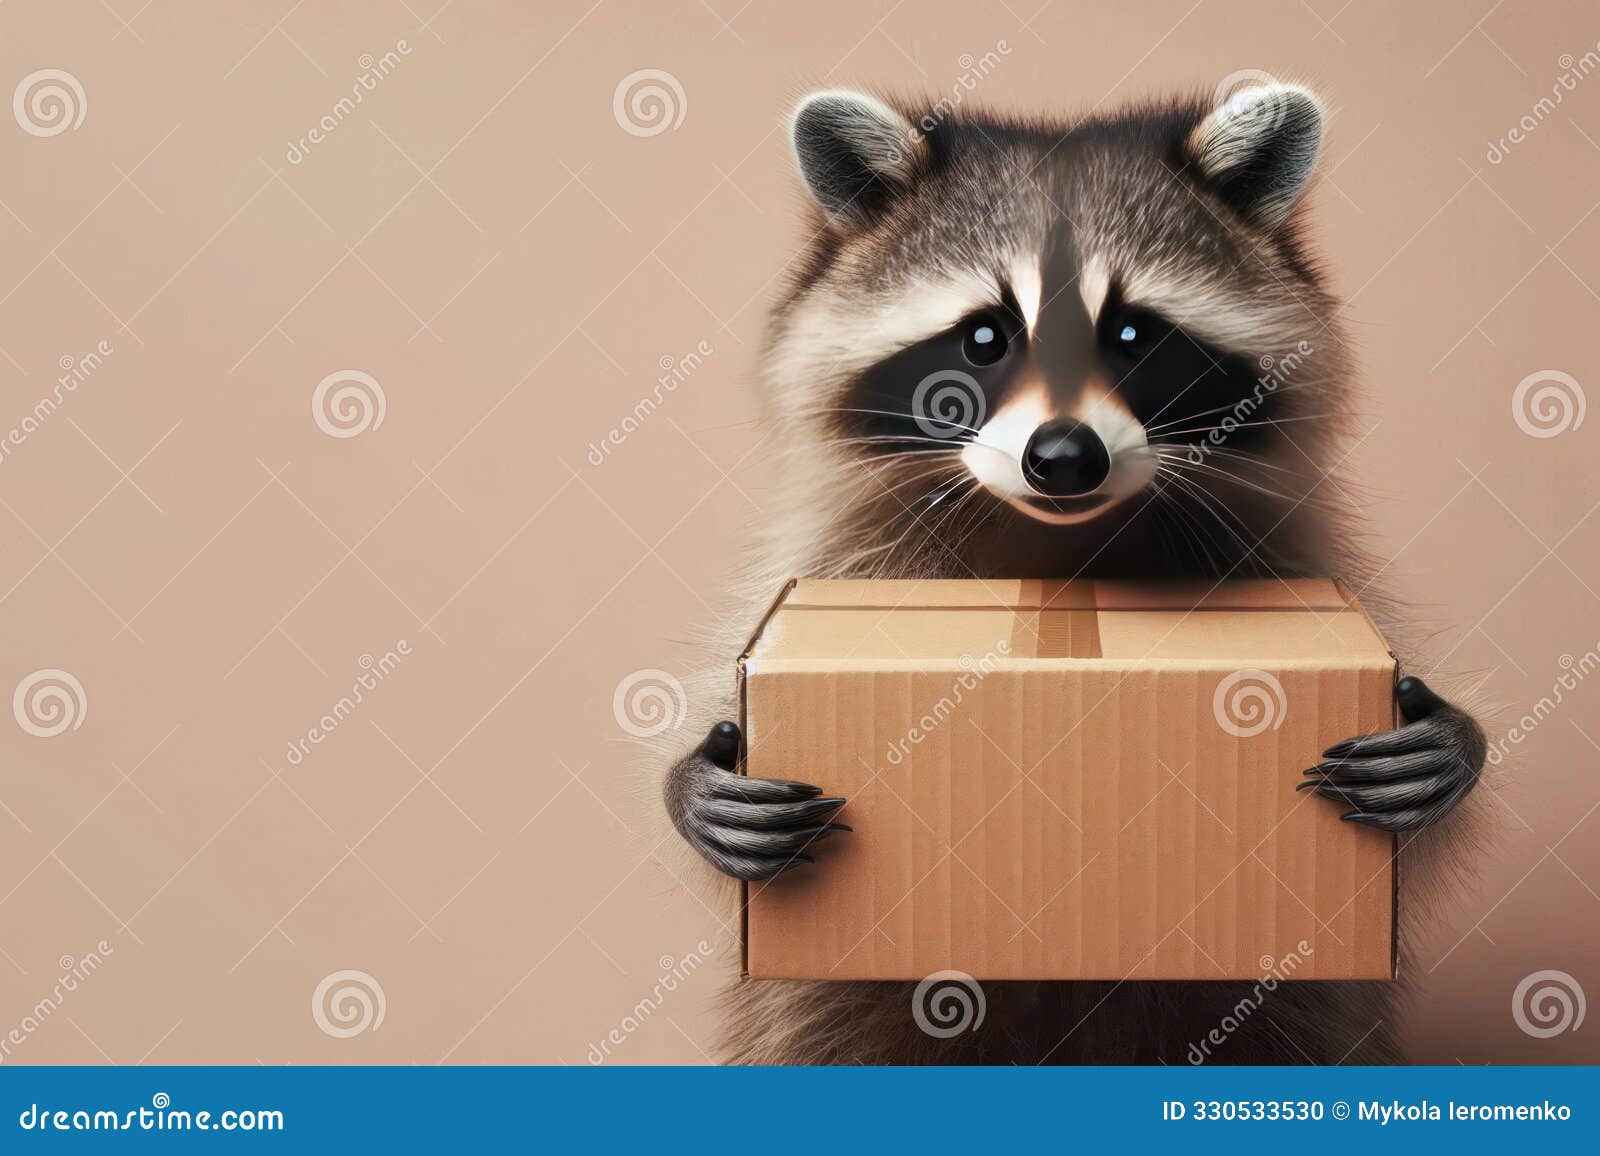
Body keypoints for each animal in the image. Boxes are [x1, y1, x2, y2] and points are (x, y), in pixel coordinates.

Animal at [659, 82, 1487, 1064]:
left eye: (1133, 334)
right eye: (985, 337)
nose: (1063, 458)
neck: (1060, 565)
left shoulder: (1287, 545)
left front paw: (1450, 734)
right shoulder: (837, 552)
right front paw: (693, 775)